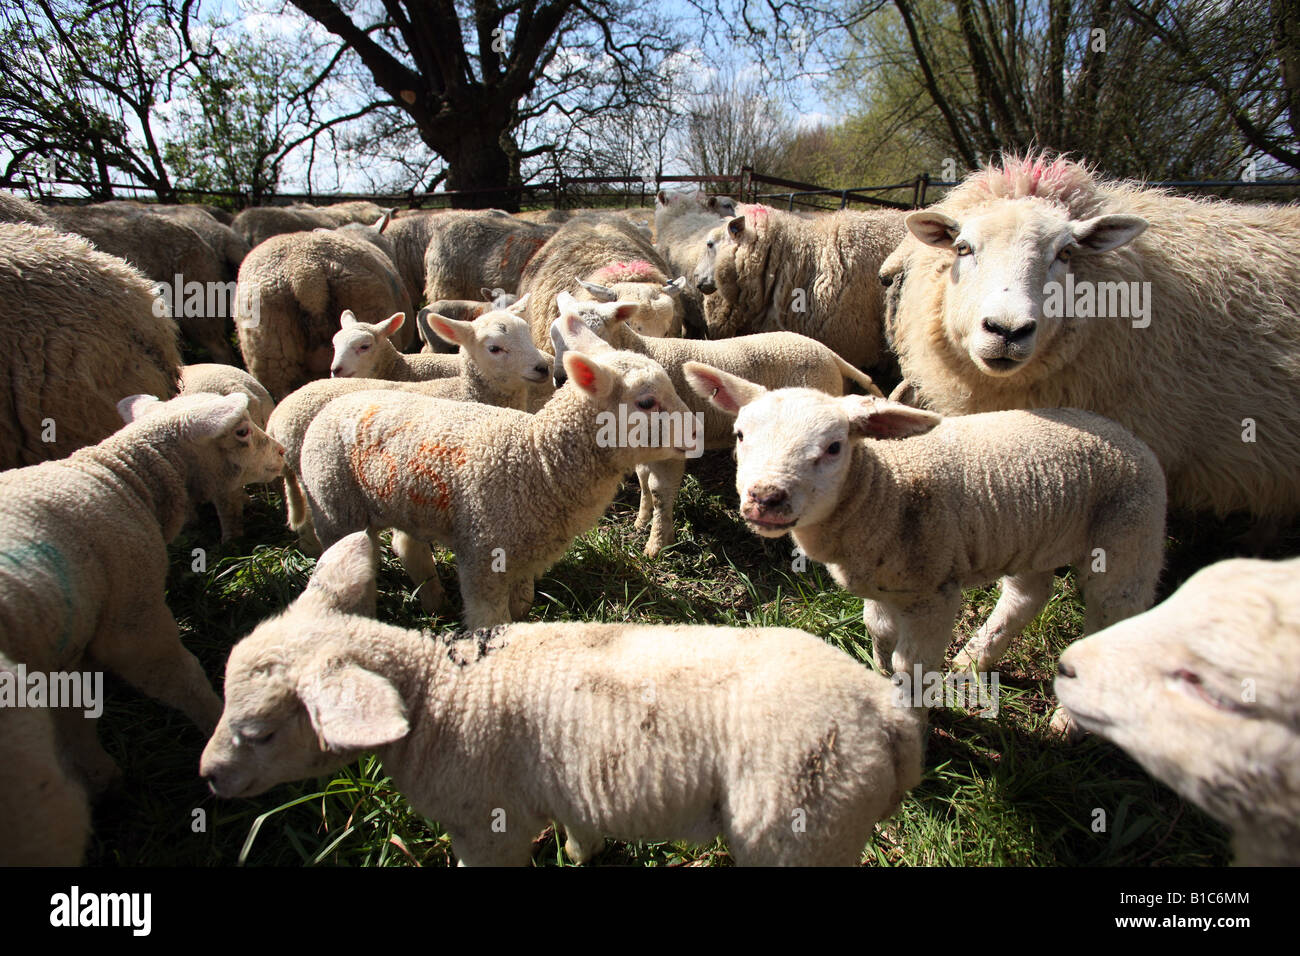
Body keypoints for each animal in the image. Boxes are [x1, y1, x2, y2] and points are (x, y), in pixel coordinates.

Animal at [0, 390, 284, 836]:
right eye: (241, 431)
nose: (283, 450)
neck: (126, 477)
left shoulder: (71, 648)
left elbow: (74, 715)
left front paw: (103, 781)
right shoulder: (133, 620)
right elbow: (182, 679)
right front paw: (221, 730)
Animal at [200, 530, 924, 866]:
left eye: (261, 732)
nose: (207, 777)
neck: (437, 693)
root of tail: (889, 717)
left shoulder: (486, 828)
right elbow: (579, 827)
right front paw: (580, 853)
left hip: (800, 827)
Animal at [296, 340, 696, 627]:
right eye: (646, 402)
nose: (695, 432)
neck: (538, 462)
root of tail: (333, 403)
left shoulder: (525, 553)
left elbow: (522, 605)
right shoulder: (483, 554)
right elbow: (490, 619)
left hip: (406, 501)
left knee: (409, 547)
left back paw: (435, 603)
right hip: (334, 507)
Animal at [550, 293, 883, 557]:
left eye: (597, 330)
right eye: (553, 336)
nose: (561, 377)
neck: (644, 348)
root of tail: (829, 354)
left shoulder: (672, 448)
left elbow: (659, 491)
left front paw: (657, 544)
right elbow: (644, 481)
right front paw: (642, 521)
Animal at [684, 364, 1167, 694]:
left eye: (835, 447)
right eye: (740, 435)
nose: (766, 498)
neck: (883, 492)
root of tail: (1131, 438)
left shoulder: (934, 592)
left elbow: (911, 665)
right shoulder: (884, 585)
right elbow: (877, 630)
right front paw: (878, 673)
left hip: (1131, 536)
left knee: (1115, 611)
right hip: (1035, 536)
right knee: (1026, 596)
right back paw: (974, 659)